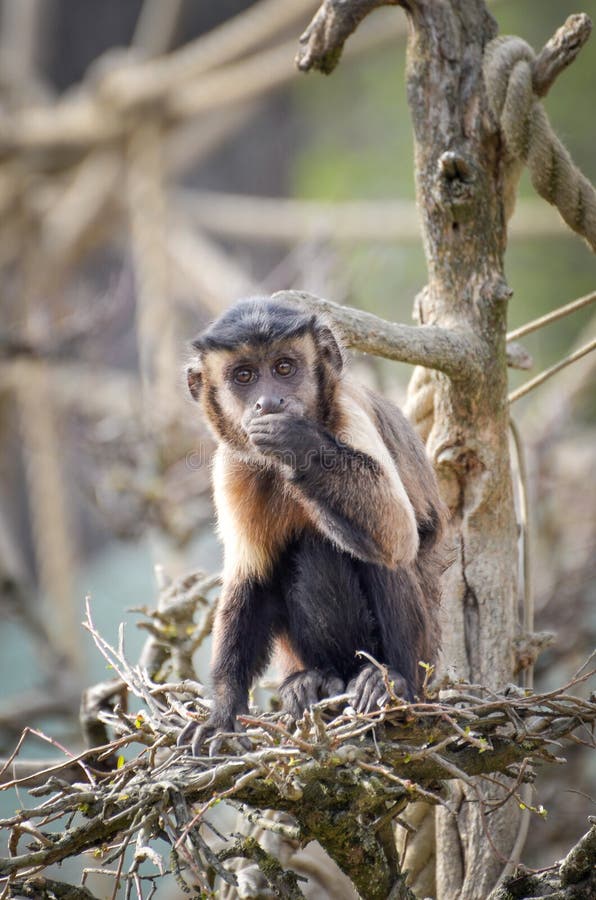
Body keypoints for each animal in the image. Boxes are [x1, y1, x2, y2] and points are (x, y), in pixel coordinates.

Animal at [179, 296, 446, 755]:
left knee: (373, 553)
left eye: (284, 367)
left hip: (426, 658)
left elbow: (397, 533)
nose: (269, 401)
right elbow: (250, 576)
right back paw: (311, 683)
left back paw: (392, 682)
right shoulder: (232, 465)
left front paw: (296, 442)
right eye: (244, 376)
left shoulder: (348, 414)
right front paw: (223, 711)